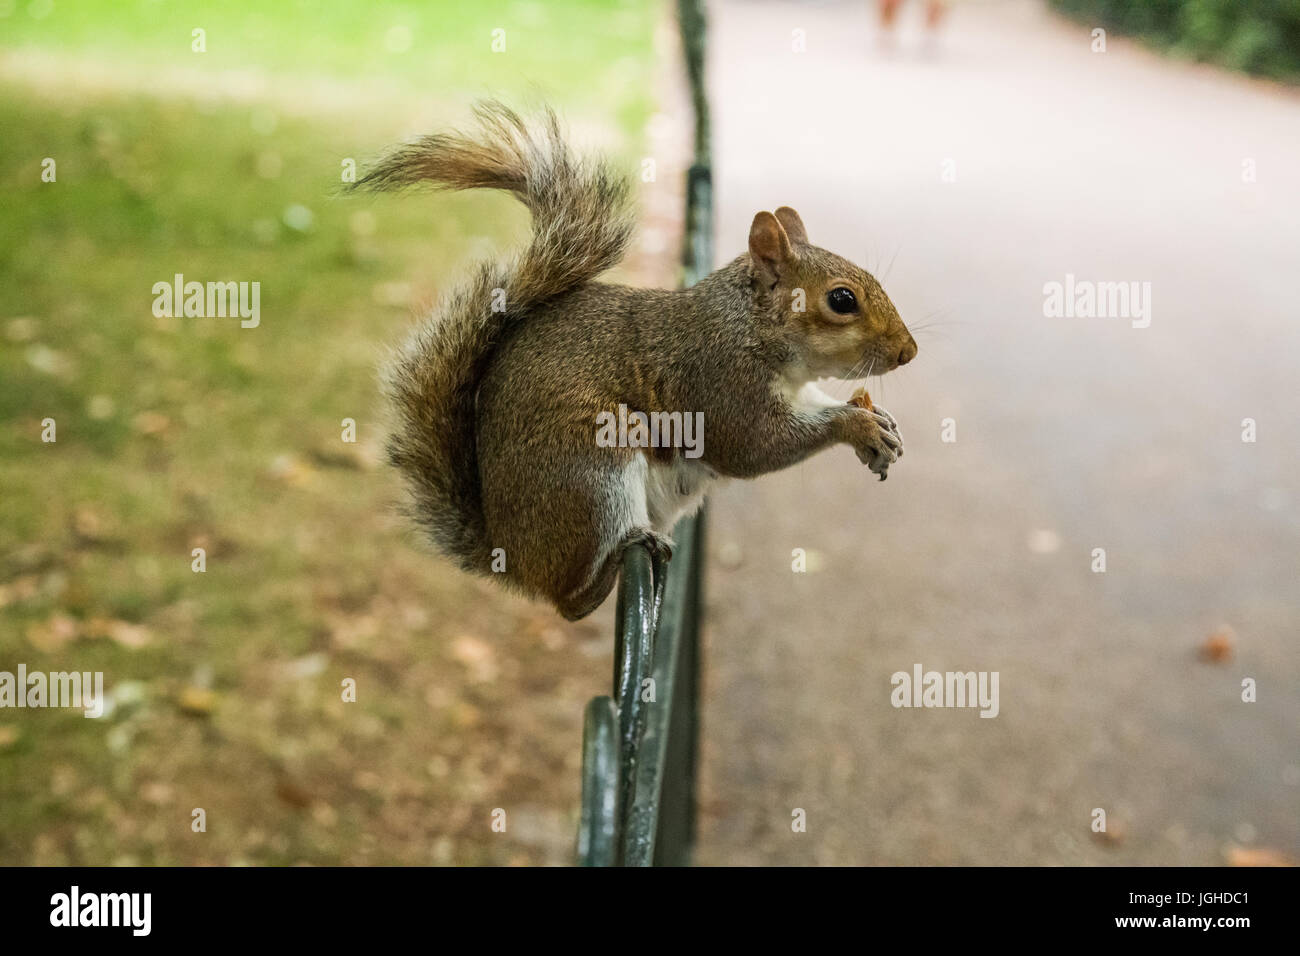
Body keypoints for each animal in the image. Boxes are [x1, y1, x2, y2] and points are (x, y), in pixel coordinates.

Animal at [354, 102, 917, 621]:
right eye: (842, 300)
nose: (907, 352)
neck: (750, 328)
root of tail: (509, 557)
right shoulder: (719, 382)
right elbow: (755, 445)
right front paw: (855, 425)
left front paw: (880, 424)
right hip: (590, 465)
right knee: (570, 603)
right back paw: (615, 560)